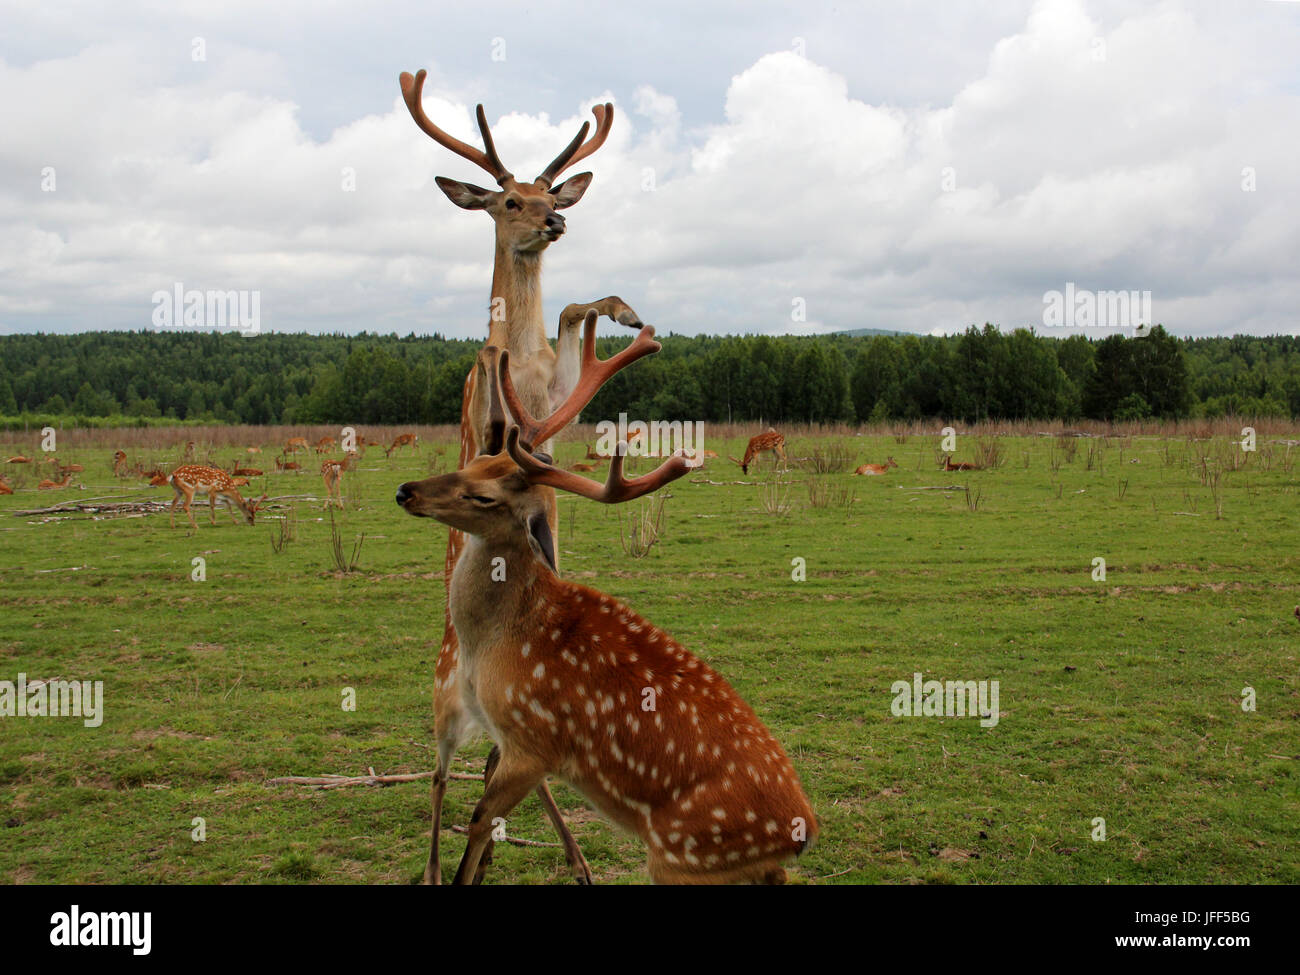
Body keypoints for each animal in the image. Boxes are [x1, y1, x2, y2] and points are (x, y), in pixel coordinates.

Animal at [396, 338, 817, 884]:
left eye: (484, 496)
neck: (491, 643)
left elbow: (479, 822)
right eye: (475, 461)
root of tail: (803, 834)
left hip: (681, 858)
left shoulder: (532, 742)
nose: (406, 490)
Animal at [400, 68, 657, 882]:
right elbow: (486, 375)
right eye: (509, 200)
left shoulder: (558, 398)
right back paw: (443, 863)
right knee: (441, 773)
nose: (554, 221)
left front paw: (621, 307)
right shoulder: (483, 409)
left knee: (495, 763)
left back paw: (549, 855)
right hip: (447, 699)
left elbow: (576, 314)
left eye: (550, 194)